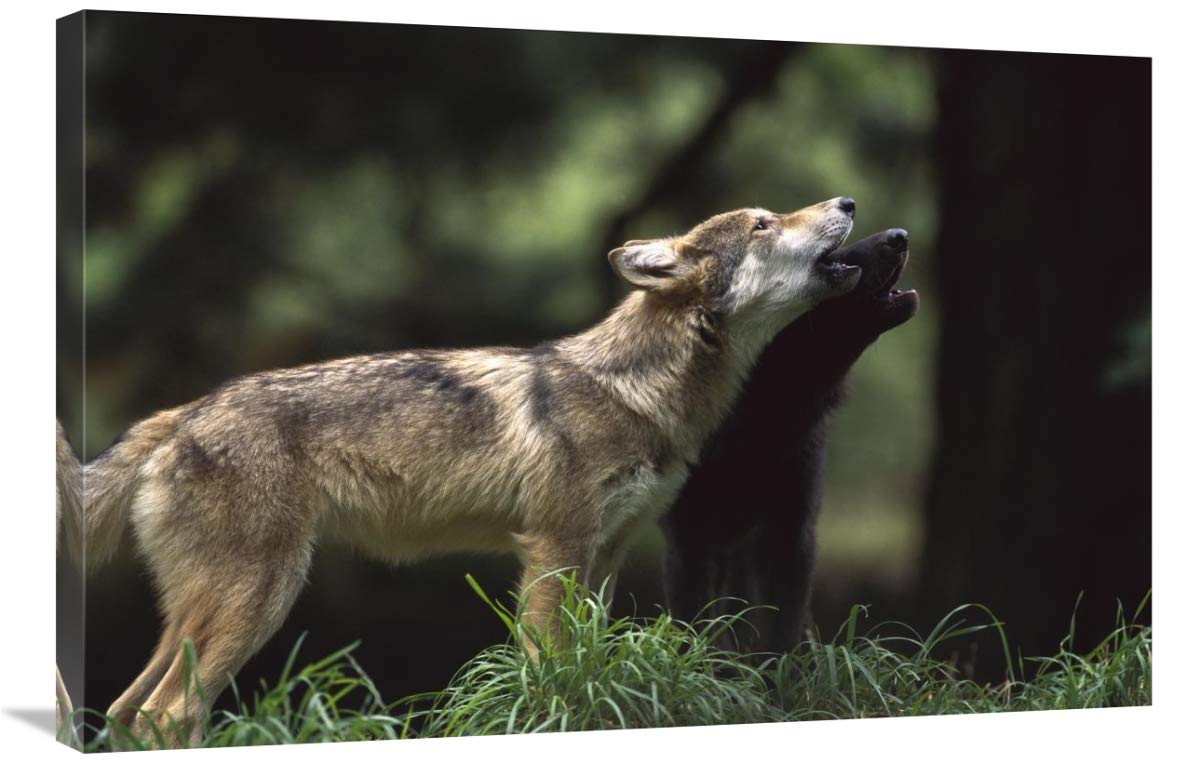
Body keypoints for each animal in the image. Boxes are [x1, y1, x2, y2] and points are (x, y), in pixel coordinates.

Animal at [56, 197, 860, 744]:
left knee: (129, 711)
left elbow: (587, 659)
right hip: (259, 597)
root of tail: (179, 415)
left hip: (204, 615)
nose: (847, 203)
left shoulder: (605, 554)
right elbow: (548, 666)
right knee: (164, 713)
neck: (638, 390)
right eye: (763, 224)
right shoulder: (553, 550)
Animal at [660, 227, 918, 654]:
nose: (899, 236)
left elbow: (781, 629)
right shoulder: (689, 533)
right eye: (828, 257)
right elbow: (696, 622)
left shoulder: (790, 528)